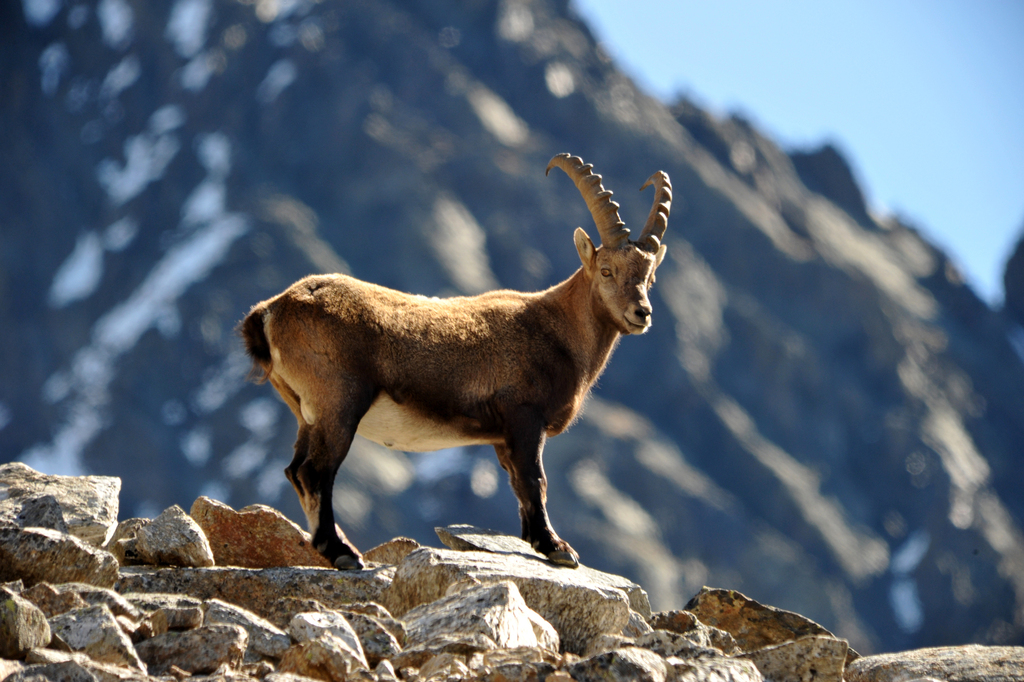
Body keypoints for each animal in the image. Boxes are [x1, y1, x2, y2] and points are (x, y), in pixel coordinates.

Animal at [240, 153, 671, 569]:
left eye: (650, 278)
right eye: (607, 270)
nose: (642, 313)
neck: (559, 328)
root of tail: (271, 309)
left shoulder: (502, 436)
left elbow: (519, 485)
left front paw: (535, 541)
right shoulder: (524, 416)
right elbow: (535, 481)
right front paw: (556, 547)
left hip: (307, 411)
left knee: (296, 470)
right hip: (339, 401)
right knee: (315, 471)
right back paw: (343, 552)